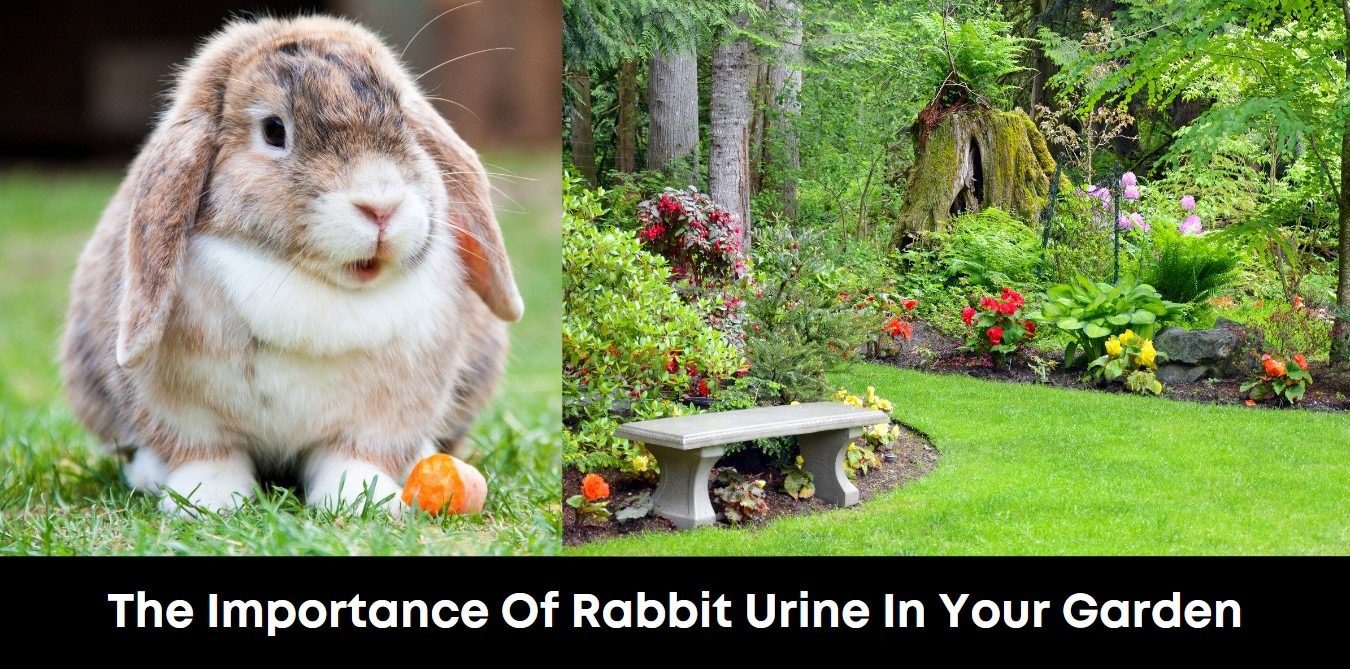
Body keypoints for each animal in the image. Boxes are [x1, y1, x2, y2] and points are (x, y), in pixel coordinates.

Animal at [59, 15, 523, 516]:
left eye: (403, 119)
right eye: (274, 130)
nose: (381, 206)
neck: (310, 283)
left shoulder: (382, 417)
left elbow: (354, 457)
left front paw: (363, 501)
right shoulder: (186, 415)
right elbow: (208, 455)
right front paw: (209, 502)